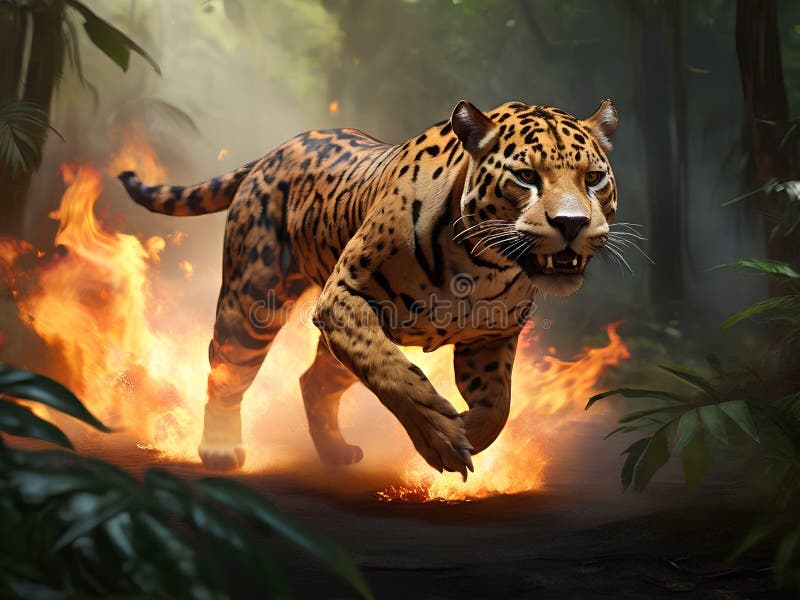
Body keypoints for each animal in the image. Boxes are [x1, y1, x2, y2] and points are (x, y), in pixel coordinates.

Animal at [119, 98, 619, 480]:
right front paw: (441, 436)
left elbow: (499, 404)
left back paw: (334, 452)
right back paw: (220, 449)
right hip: (251, 303)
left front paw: (470, 433)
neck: (484, 265)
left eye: (593, 178)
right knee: (225, 372)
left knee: (313, 379)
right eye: (526, 177)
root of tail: (273, 152)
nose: (571, 224)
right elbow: (393, 371)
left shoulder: (490, 339)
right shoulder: (342, 298)